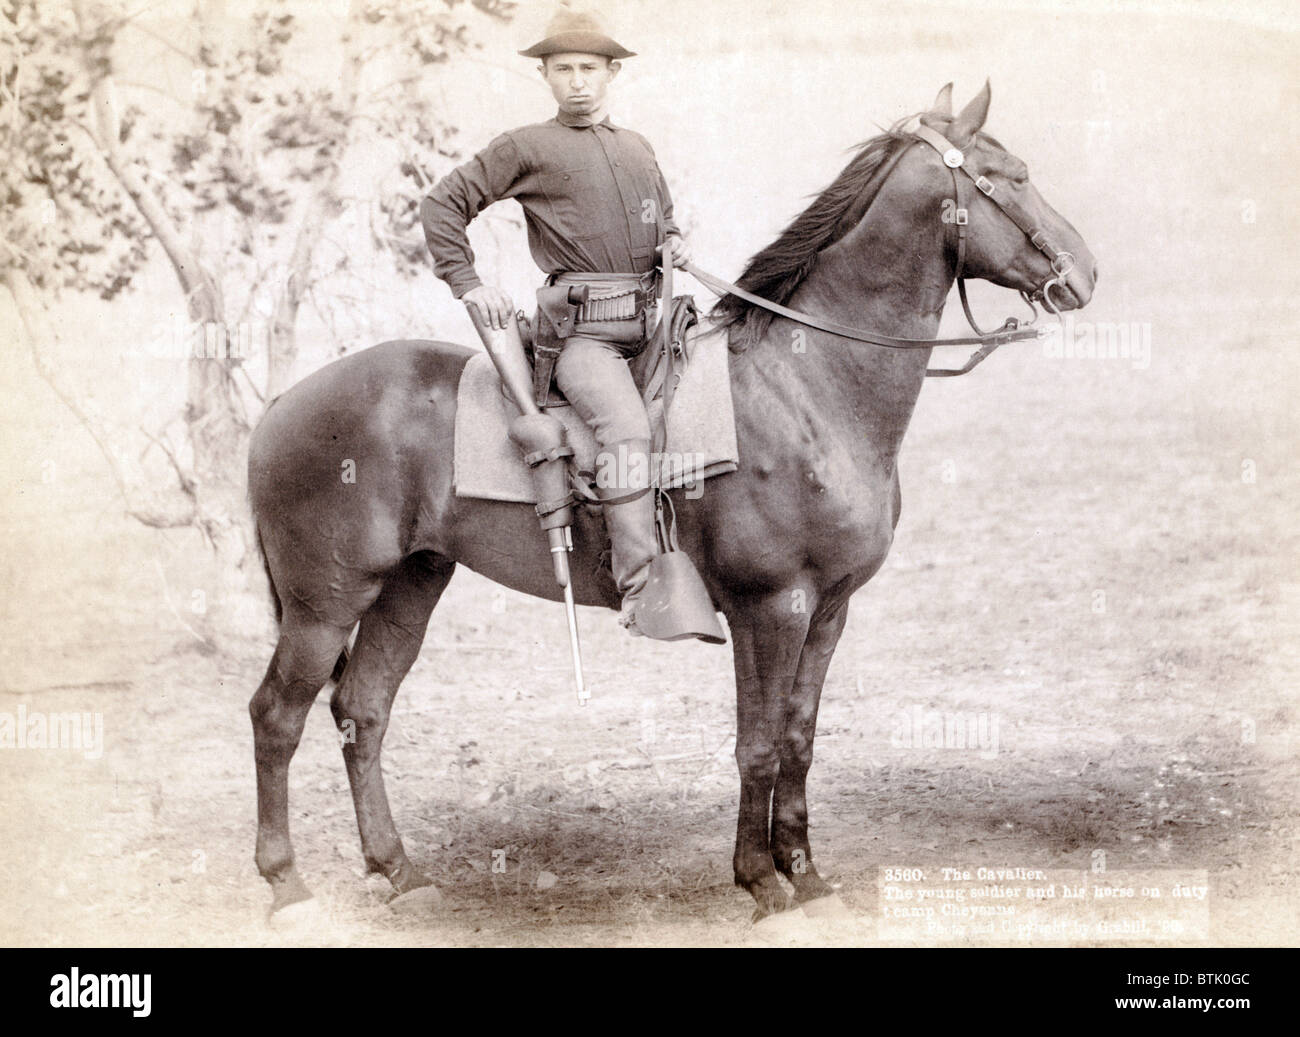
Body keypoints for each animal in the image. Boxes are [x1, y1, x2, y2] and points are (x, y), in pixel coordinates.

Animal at [246, 83, 1096, 923]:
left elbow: (799, 738)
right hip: (325, 605)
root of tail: (283, 404)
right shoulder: (770, 608)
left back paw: (397, 869)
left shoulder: (829, 609)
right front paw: (762, 882)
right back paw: (286, 883)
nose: (1084, 272)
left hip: (409, 586)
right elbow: (757, 745)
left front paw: (807, 873)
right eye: (1012, 176)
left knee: (362, 711)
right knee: (277, 717)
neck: (804, 389)